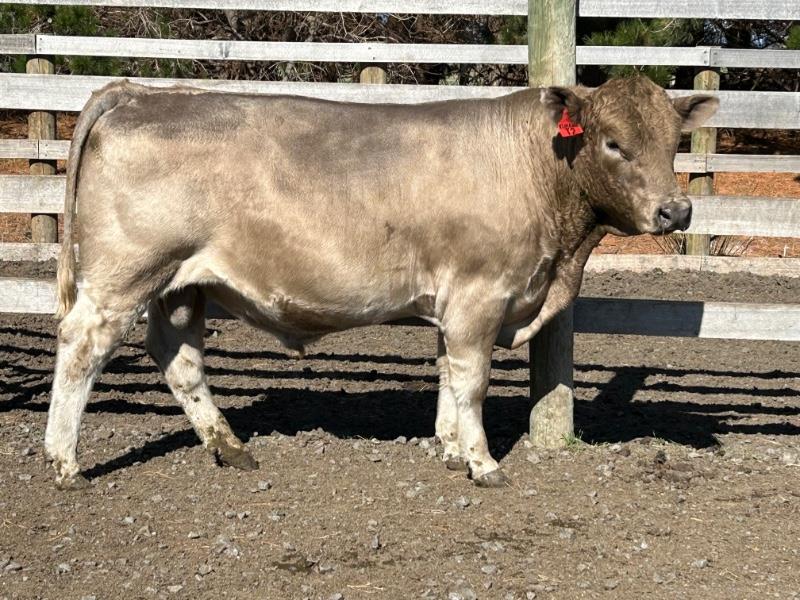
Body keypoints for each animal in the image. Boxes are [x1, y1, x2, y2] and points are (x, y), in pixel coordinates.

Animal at [44, 76, 717, 490]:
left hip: (180, 285)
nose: (675, 212)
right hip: (124, 273)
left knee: (178, 357)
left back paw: (229, 446)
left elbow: (448, 373)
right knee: (82, 345)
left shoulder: (454, 300)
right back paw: (65, 461)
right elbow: (472, 381)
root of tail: (142, 93)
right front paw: (482, 462)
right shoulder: (480, 294)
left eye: (674, 142)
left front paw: (449, 449)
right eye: (612, 142)